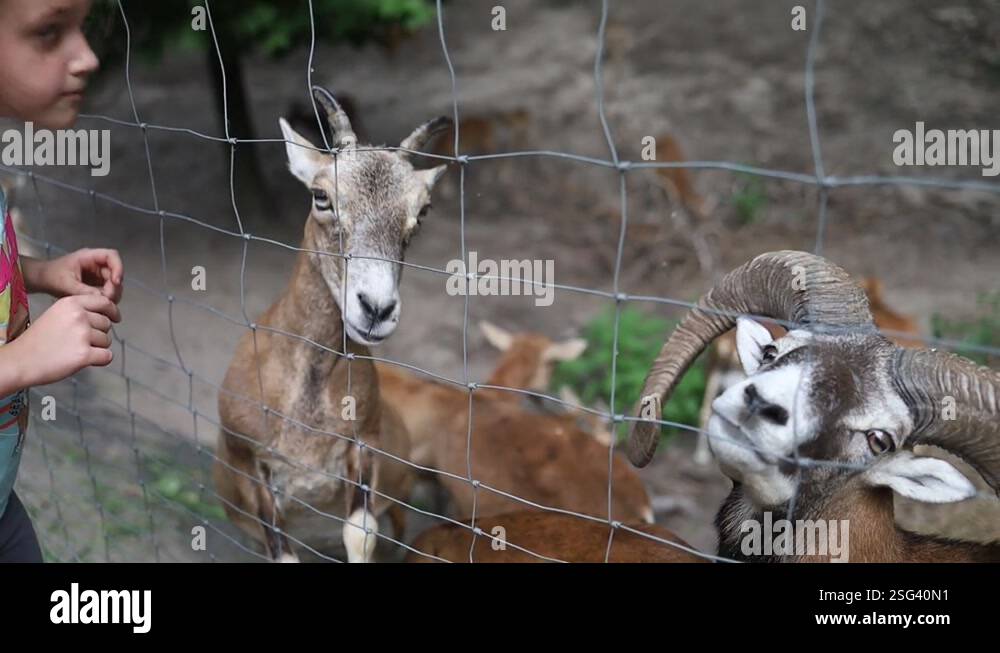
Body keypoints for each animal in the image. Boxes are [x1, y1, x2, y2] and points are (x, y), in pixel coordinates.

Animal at [214, 87, 450, 562]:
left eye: (423, 210)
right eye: (321, 195)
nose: (375, 309)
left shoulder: (363, 449)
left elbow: (360, 534)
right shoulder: (252, 464)